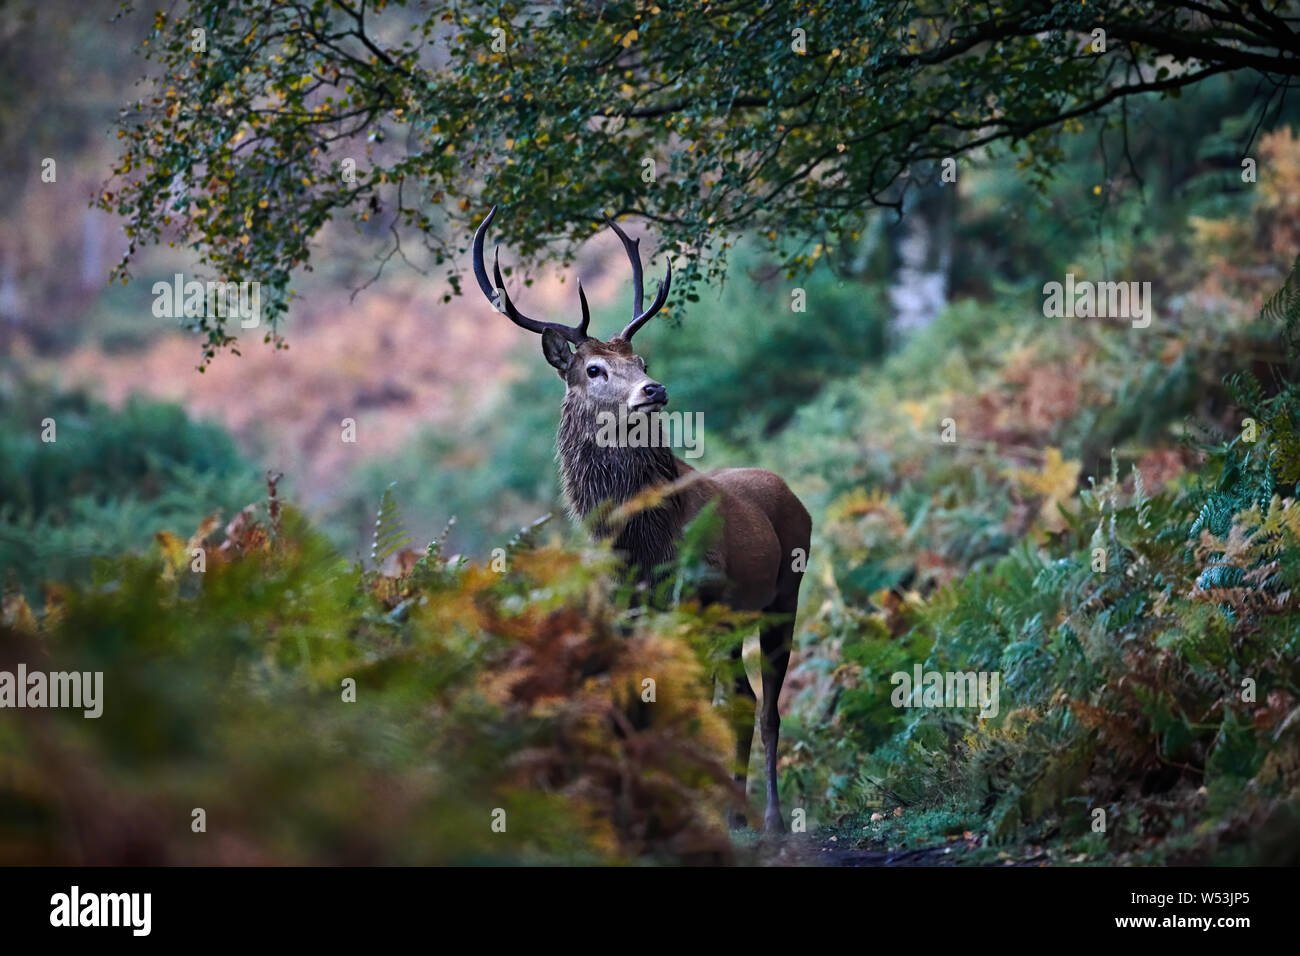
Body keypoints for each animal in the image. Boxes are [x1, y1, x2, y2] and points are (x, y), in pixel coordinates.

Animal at [471, 207, 811, 833]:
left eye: (642, 361)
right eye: (594, 369)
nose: (654, 389)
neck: (641, 542)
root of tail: (792, 494)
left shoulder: (697, 597)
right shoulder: (628, 610)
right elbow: (637, 709)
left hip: (781, 595)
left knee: (766, 706)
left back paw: (770, 818)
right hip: (731, 620)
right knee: (745, 699)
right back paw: (738, 814)